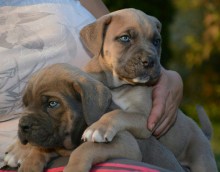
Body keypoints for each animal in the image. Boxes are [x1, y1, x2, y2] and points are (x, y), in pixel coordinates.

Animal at [3, 63, 184, 171]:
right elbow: (39, 151)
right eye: (25, 104)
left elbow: (85, 148)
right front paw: (29, 164)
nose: (23, 125)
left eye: (52, 104)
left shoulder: (127, 144)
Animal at [80, 8, 217, 172]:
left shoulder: (145, 118)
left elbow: (118, 113)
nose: (150, 61)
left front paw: (98, 128)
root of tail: (203, 134)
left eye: (156, 41)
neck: (117, 84)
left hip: (203, 160)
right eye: (125, 38)